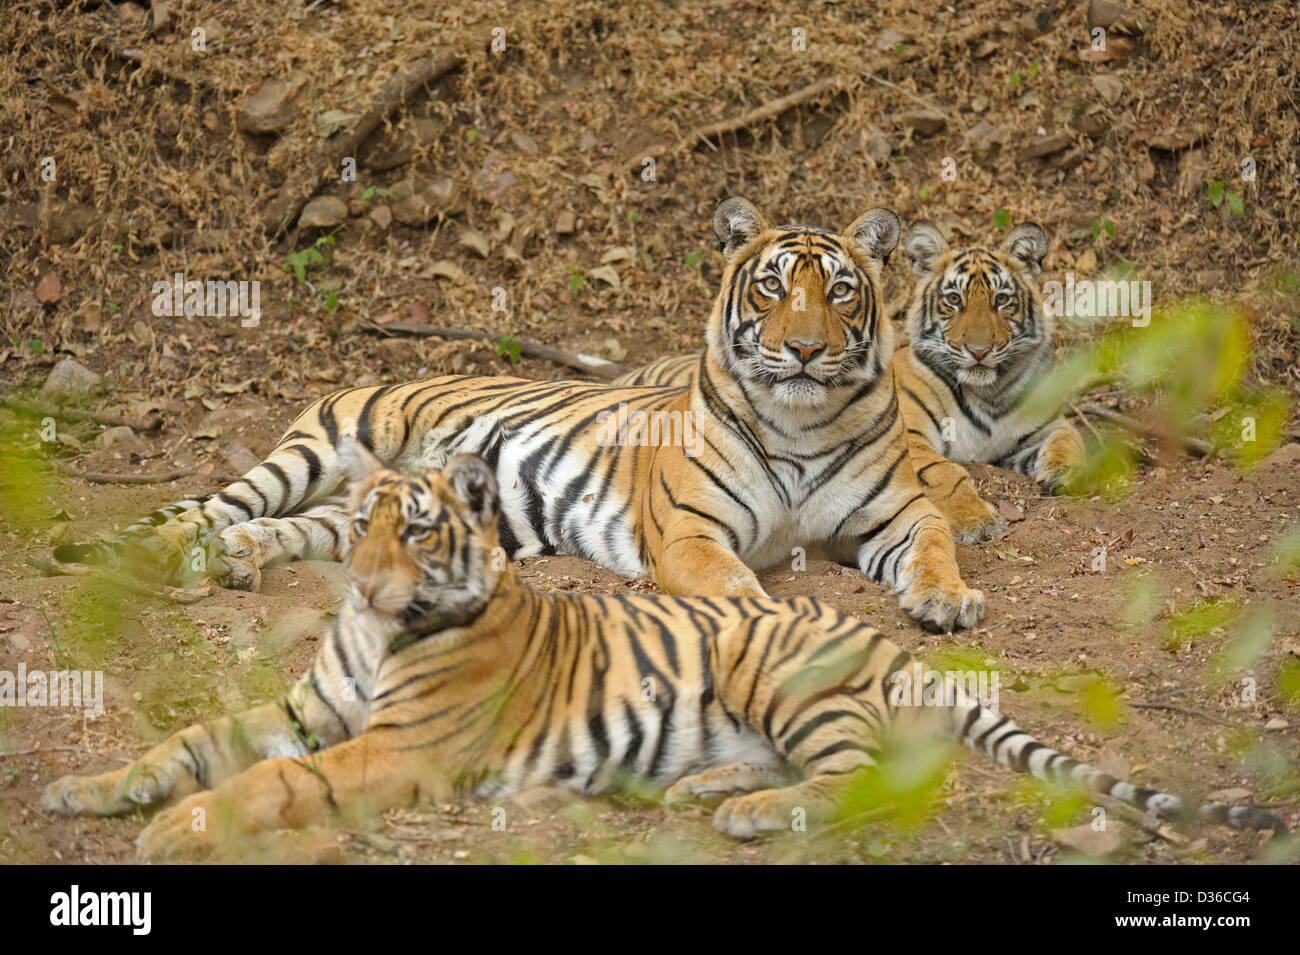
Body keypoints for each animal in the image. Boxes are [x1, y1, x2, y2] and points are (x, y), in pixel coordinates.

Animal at [41, 447, 1286, 861]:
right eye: (367, 524)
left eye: (424, 528)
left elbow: (269, 783)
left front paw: (173, 829)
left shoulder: (386, 748)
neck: (375, 630)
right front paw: (87, 789)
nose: (372, 585)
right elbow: (193, 740)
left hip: (783, 680)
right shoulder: (309, 710)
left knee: (859, 783)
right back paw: (708, 790)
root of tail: (876, 640)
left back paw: (743, 812)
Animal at [54, 197, 985, 632]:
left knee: (293, 530)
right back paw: (165, 552)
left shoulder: (900, 512)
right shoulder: (690, 532)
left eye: (839, 292)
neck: (799, 423)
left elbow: (937, 543)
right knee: (212, 505)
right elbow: (737, 583)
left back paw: (241, 558)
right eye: (771, 287)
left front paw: (948, 599)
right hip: (318, 447)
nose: (802, 349)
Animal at [613, 221, 1086, 544]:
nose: (979, 350)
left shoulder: (1042, 423)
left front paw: (1070, 473)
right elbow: (949, 471)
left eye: (1003, 301)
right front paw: (978, 521)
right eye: (954, 300)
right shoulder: (912, 433)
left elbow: (1070, 436)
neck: (986, 391)